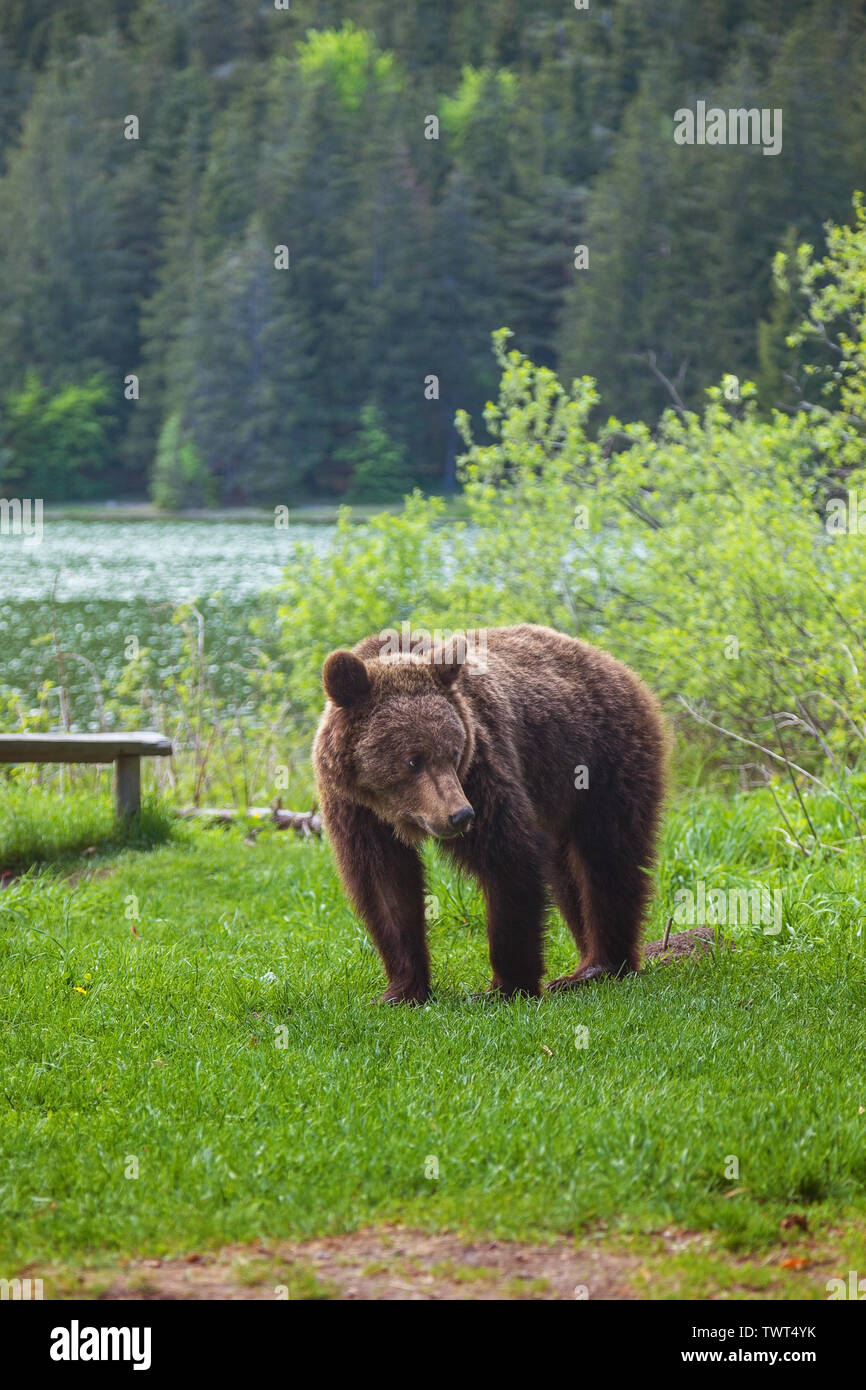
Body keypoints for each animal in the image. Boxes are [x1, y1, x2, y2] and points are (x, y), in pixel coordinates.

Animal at [313, 623, 667, 1004]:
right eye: (413, 760)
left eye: (452, 753)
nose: (460, 816)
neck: (391, 809)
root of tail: (617, 666)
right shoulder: (354, 808)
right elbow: (385, 883)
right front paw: (402, 990)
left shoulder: (482, 768)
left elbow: (508, 857)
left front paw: (506, 985)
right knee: (566, 871)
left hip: (602, 760)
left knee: (606, 858)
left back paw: (598, 967)